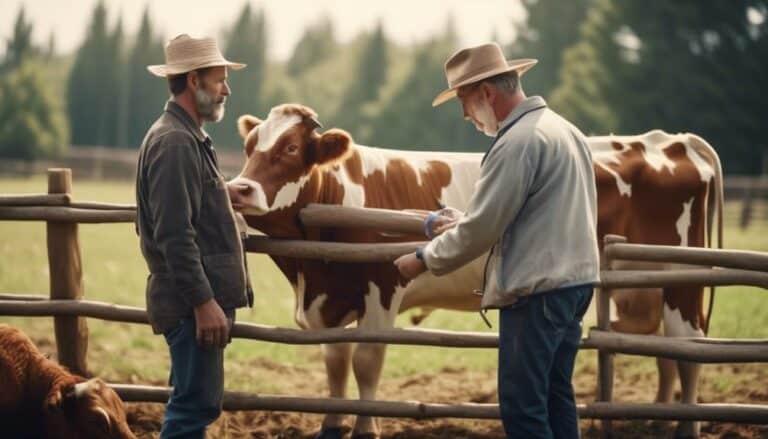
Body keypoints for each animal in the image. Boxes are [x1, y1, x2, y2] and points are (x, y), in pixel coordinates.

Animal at [227, 103, 722, 439]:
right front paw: (332, 425)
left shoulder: (381, 290)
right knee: (663, 350)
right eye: (250, 148)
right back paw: (658, 421)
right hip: (645, 286)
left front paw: (365, 428)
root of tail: (670, 140)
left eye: (291, 147)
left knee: (688, 348)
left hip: (682, 274)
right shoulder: (329, 301)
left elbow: (366, 362)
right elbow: (335, 362)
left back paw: (685, 427)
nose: (240, 189)